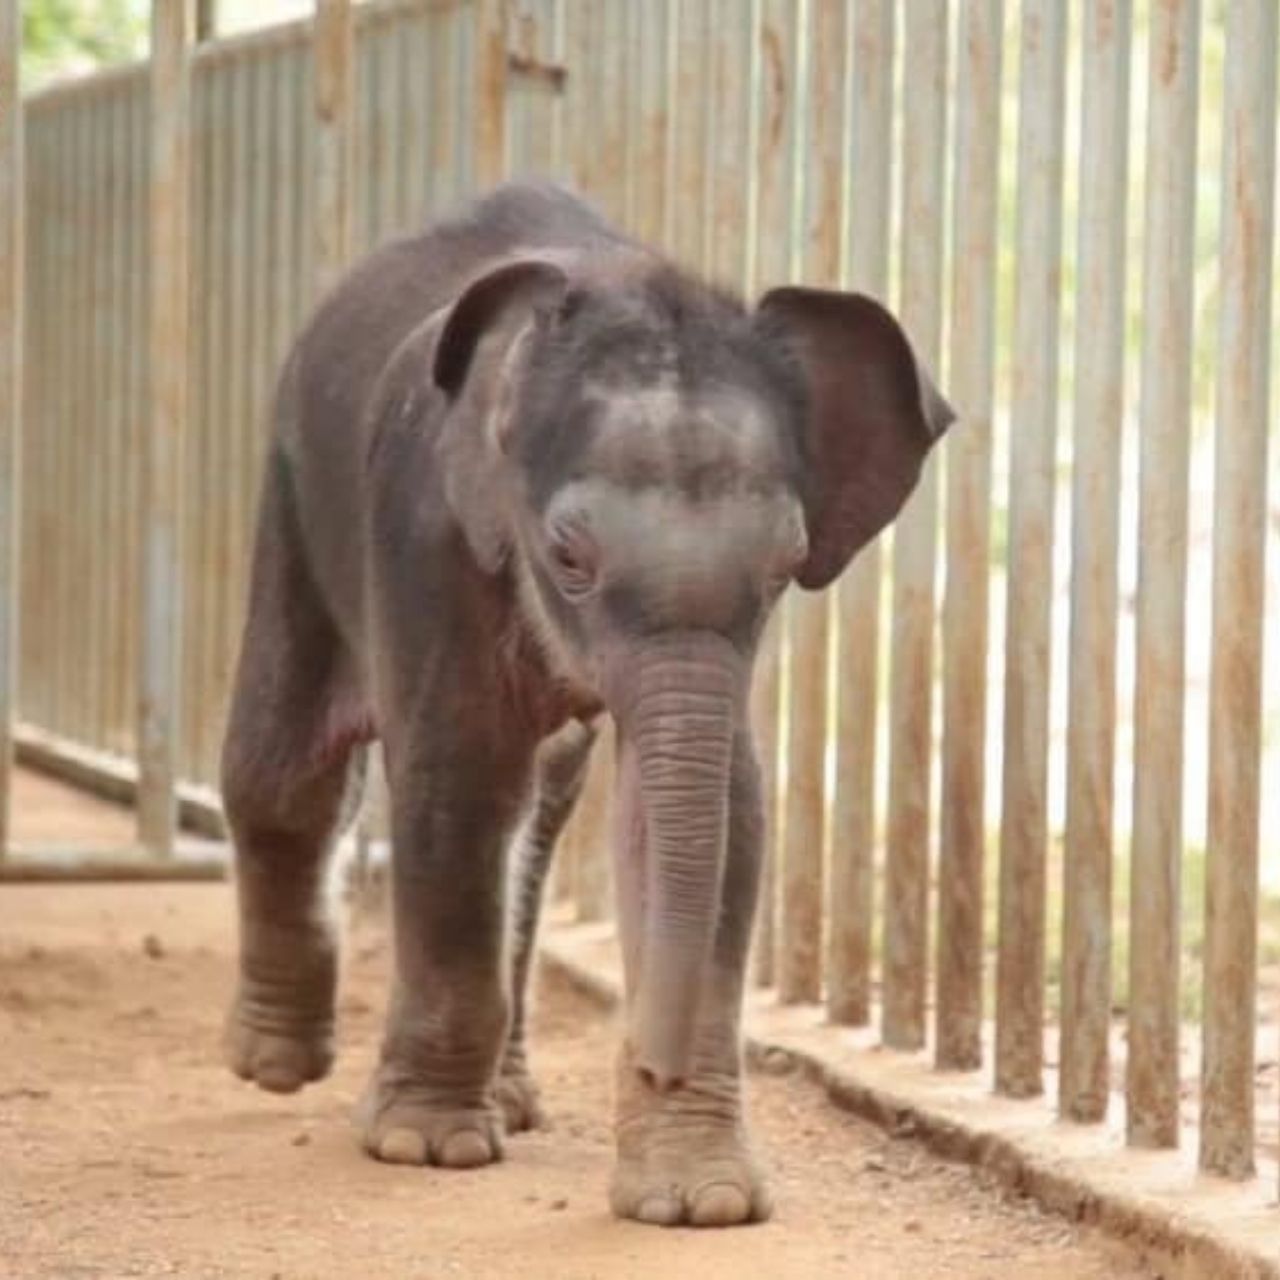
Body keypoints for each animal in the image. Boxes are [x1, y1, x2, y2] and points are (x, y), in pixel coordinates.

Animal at [220, 180, 953, 1228]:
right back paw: (276, 1066)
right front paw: (426, 1149)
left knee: (537, 828)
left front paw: (700, 1202)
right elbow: (456, 780)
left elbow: (720, 816)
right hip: (293, 495)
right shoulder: (427, 531)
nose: (652, 1063)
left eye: (785, 566)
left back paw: (512, 1101)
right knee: (284, 771)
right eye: (568, 558)